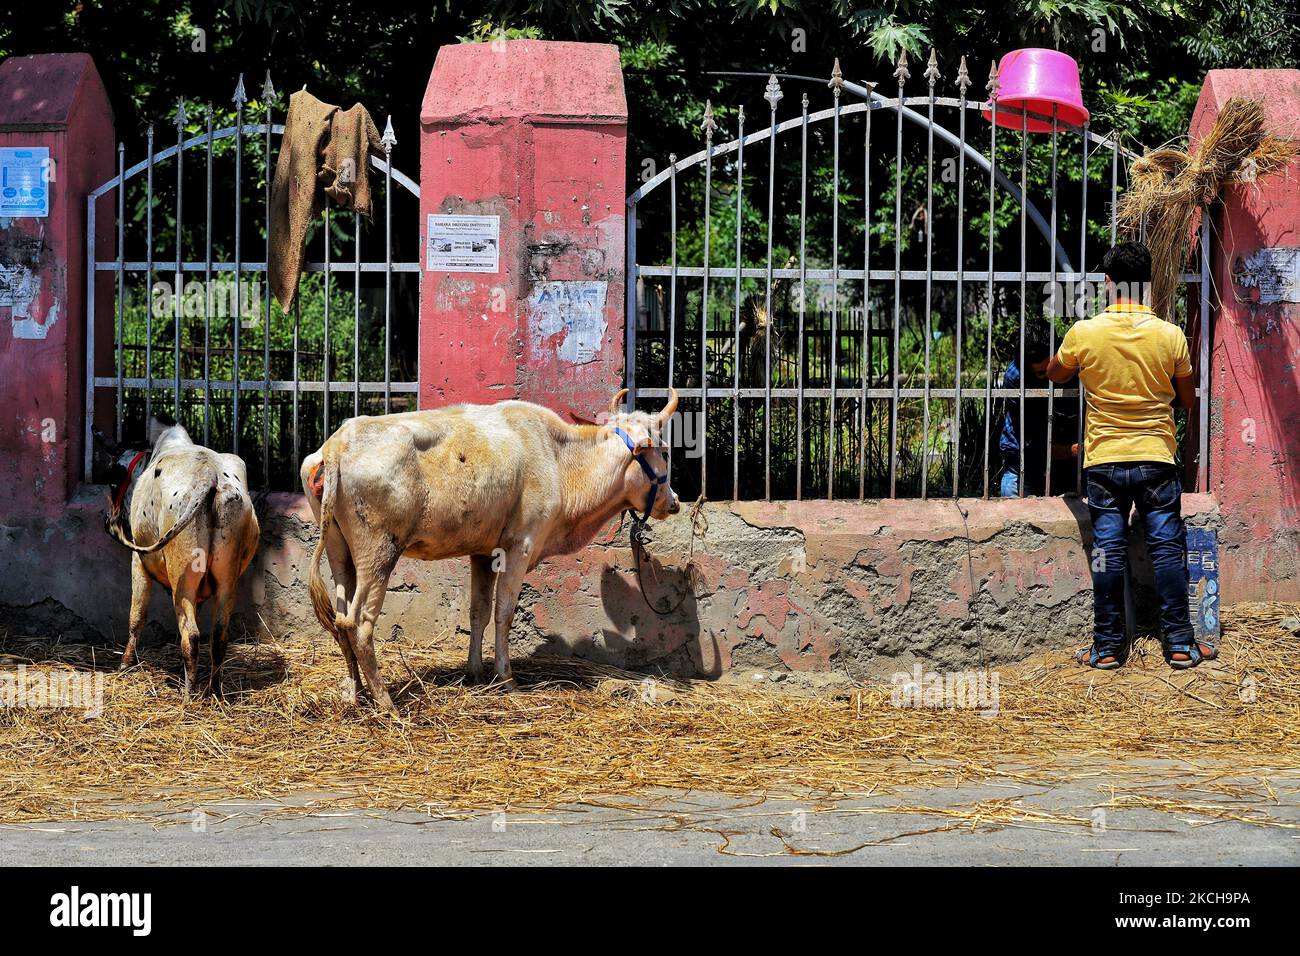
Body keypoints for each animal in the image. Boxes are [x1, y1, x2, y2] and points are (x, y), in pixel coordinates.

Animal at [102, 416, 260, 698]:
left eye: (113, 481)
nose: (111, 517)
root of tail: (210, 475)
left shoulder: (137, 561)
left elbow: (136, 617)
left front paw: (125, 665)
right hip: (226, 581)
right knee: (218, 635)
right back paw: (214, 690)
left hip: (181, 578)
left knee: (192, 635)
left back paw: (188, 695)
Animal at [300, 389, 681, 711]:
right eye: (663, 451)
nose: (674, 501)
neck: (558, 459)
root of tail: (336, 444)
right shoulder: (520, 546)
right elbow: (504, 613)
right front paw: (506, 679)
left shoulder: (482, 552)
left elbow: (478, 612)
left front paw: (475, 672)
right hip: (378, 552)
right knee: (358, 623)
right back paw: (385, 703)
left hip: (339, 551)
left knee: (339, 619)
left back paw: (354, 694)